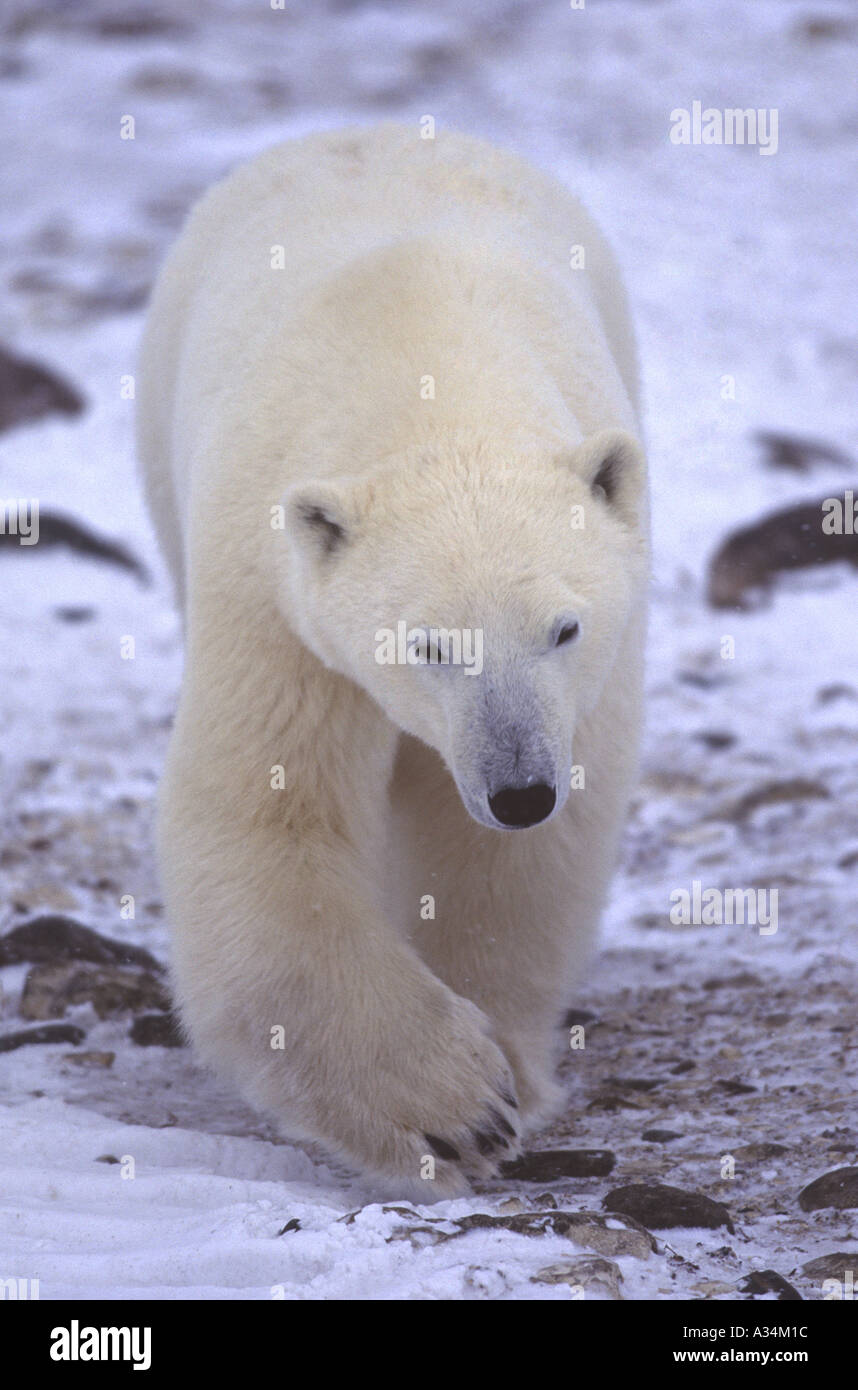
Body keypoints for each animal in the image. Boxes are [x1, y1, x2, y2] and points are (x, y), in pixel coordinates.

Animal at [137, 123, 649, 1195]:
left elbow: (503, 864)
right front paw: (454, 1109)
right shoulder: (276, 595)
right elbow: (270, 816)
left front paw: (507, 1067)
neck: (424, 371)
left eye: (564, 629)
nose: (519, 790)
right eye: (428, 645)